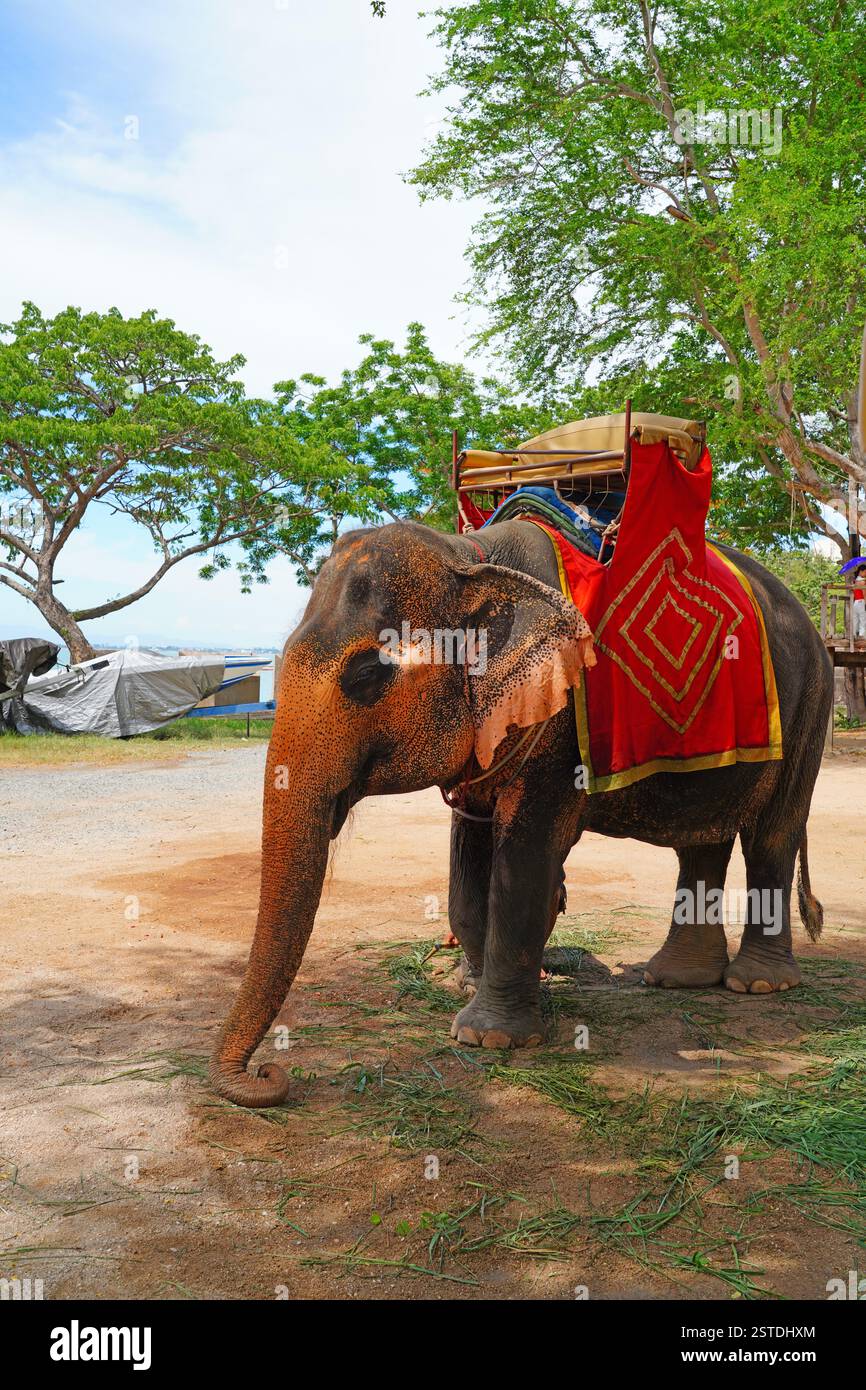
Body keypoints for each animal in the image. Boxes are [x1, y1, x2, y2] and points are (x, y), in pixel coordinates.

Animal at [210, 518, 834, 1107]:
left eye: (366, 675)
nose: (269, 1073)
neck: (470, 557)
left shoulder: (562, 718)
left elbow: (526, 863)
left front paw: (489, 1038)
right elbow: (467, 870)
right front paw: (474, 991)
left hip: (811, 704)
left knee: (772, 836)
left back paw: (757, 985)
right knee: (702, 841)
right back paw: (678, 979)